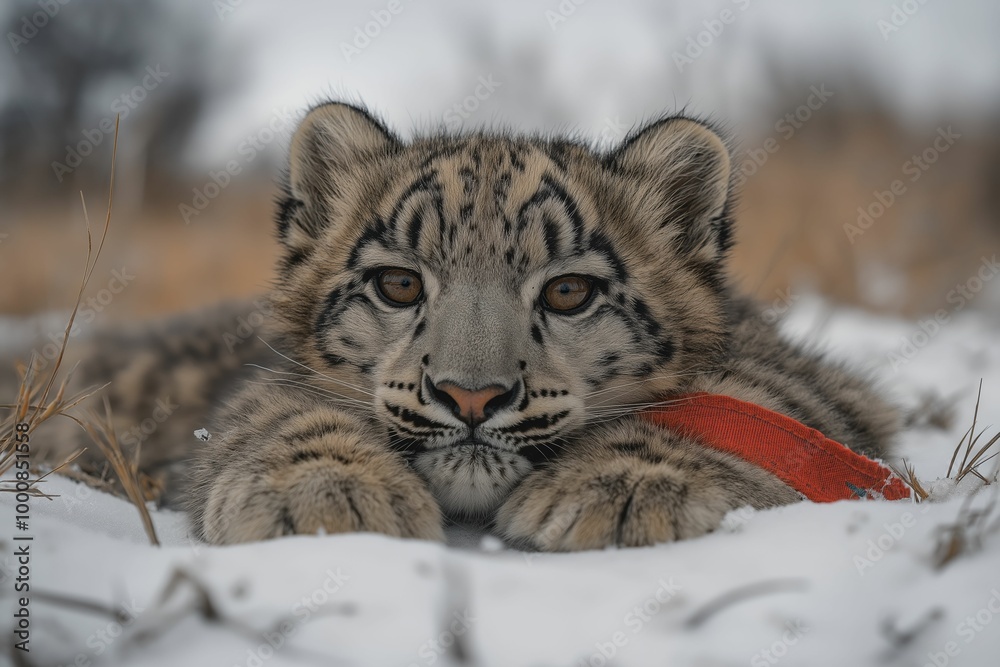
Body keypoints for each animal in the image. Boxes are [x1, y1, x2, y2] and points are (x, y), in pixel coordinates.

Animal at [1, 102, 900, 550]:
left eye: (568, 291)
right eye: (400, 282)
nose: (471, 397)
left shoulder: (805, 382)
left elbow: (753, 409)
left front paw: (620, 486)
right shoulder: (264, 386)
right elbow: (282, 410)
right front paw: (323, 490)